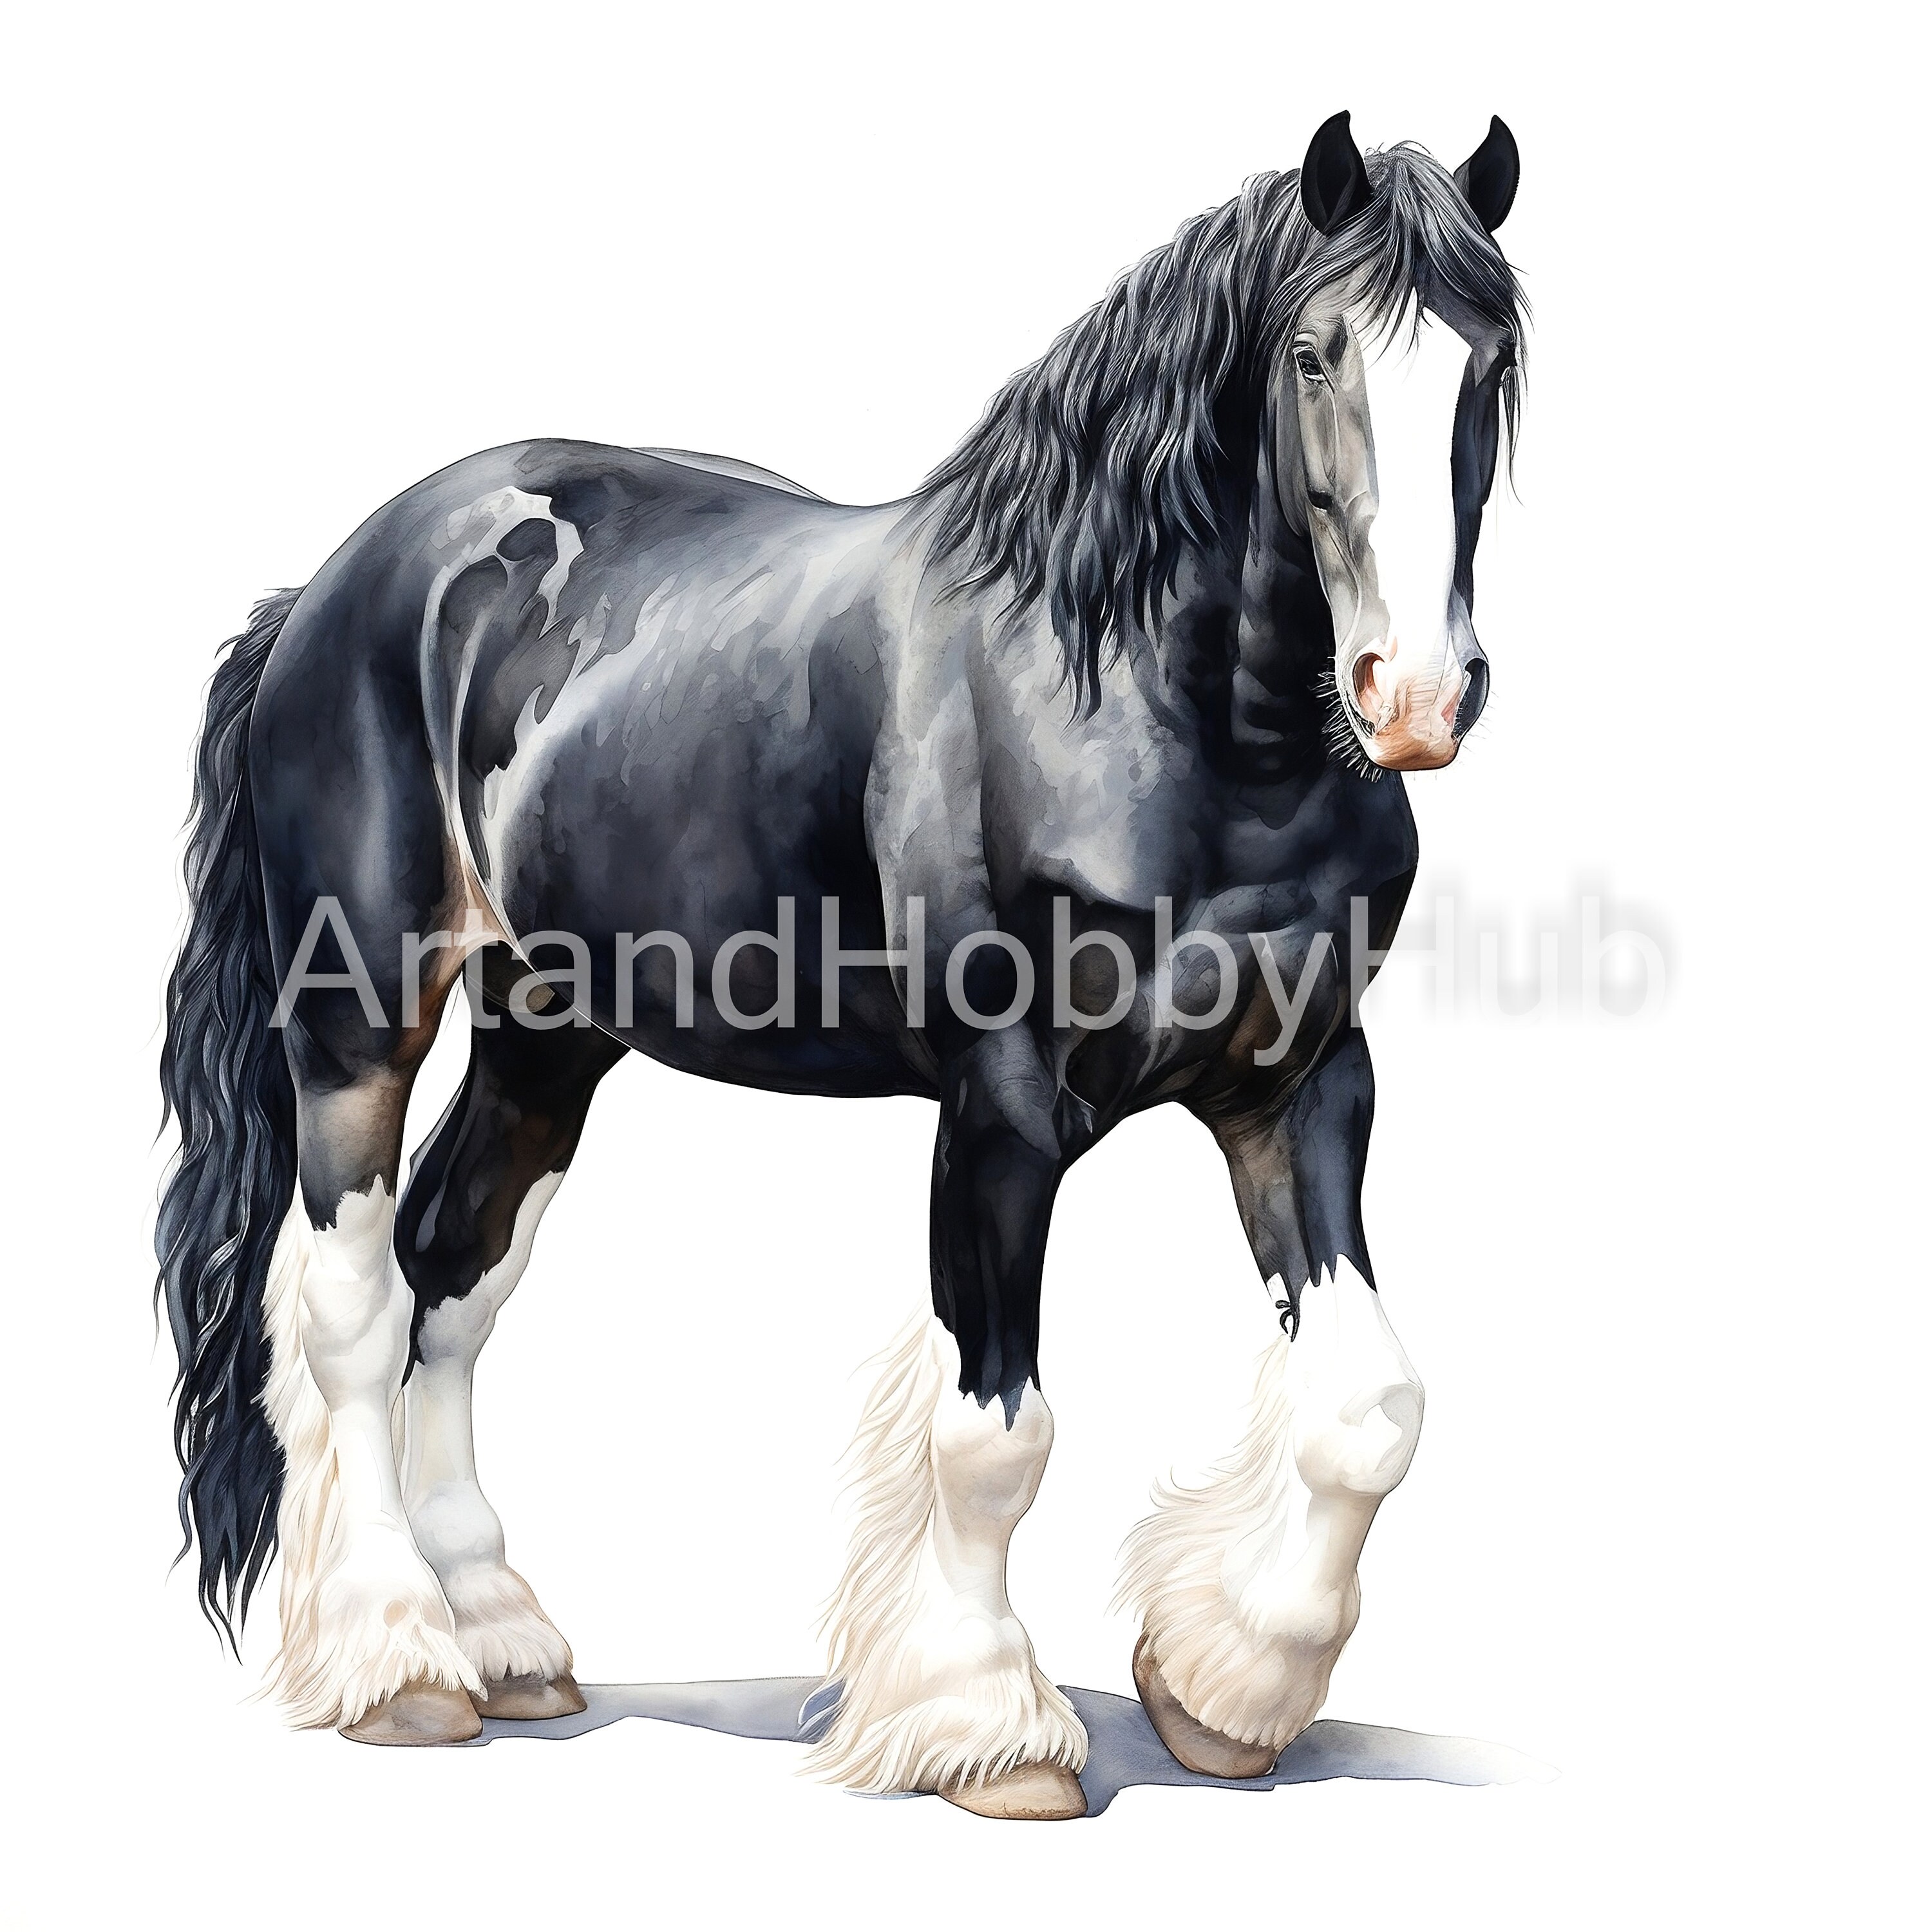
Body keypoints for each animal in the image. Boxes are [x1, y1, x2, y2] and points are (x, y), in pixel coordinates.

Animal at [158, 109, 1526, 1821]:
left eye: (1489, 363)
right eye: (1314, 351)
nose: (1415, 695)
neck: (1150, 715)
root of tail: (333, 592)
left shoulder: (1299, 1084)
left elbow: (1373, 1409)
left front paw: (1224, 1690)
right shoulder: (1002, 1109)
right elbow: (996, 1433)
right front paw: (991, 1726)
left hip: (549, 1025)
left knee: (448, 1268)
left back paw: (503, 1636)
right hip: (358, 1017)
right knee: (346, 1298)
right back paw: (403, 1660)